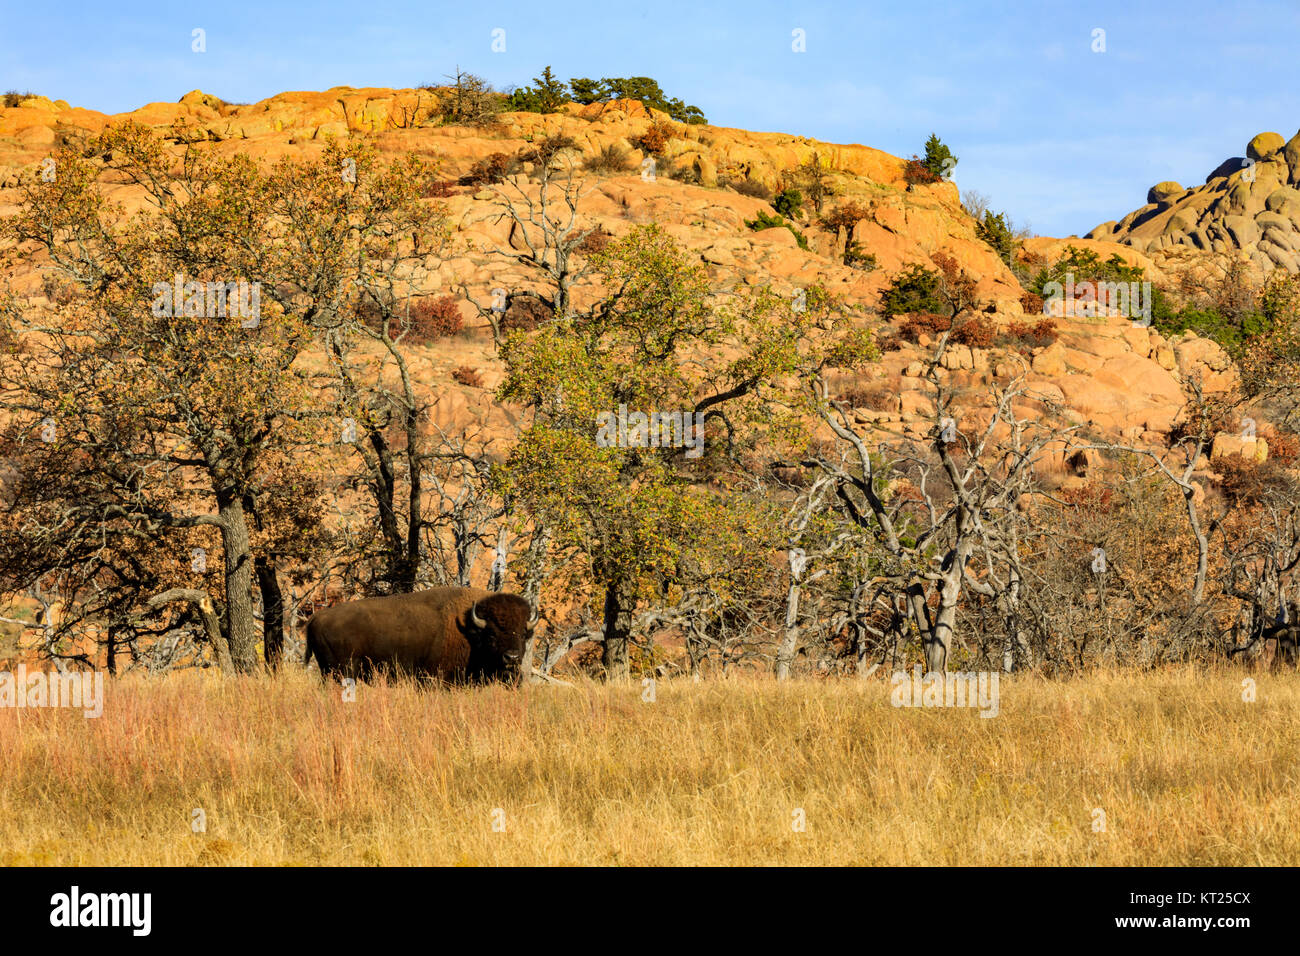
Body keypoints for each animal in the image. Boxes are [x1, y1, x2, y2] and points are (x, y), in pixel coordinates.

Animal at [304, 587, 536, 685]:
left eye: (524, 634)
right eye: (492, 634)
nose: (512, 658)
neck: (470, 631)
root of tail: (316, 618)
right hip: (341, 671)